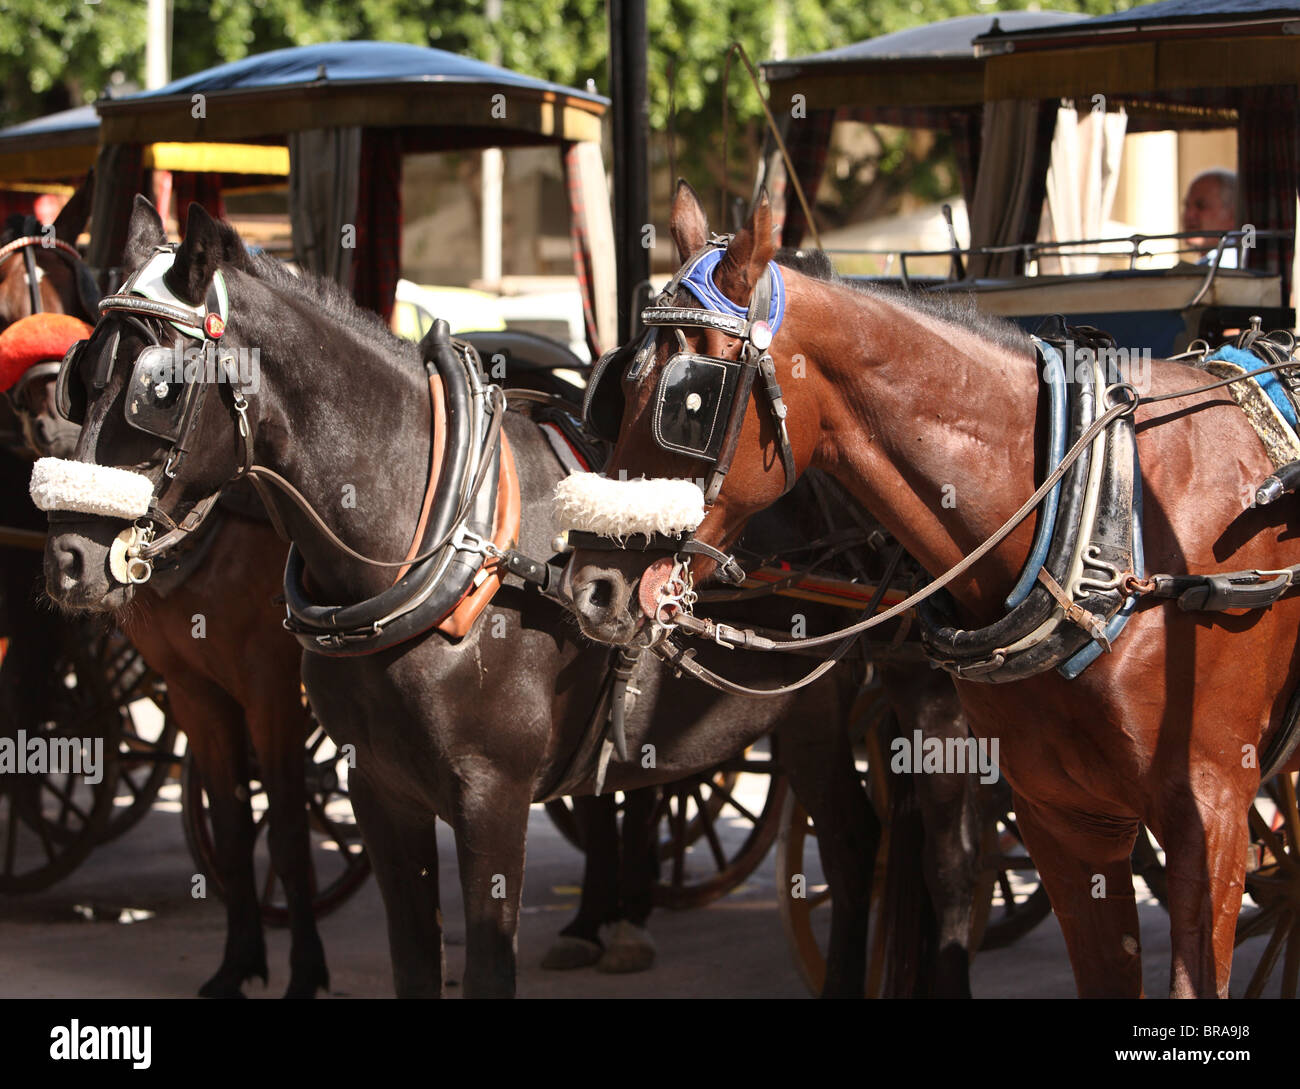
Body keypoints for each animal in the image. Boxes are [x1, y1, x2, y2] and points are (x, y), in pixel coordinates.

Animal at [39, 197, 888, 998]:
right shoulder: (378, 789)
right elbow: (413, 961)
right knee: (852, 847)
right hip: (799, 711)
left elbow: (484, 967)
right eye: (82, 375)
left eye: (156, 388)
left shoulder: (491, 796)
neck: (440, 535)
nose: (70, 559)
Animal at [559, 180, 1300, 999]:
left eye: (688, 401)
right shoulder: (1065, 816)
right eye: (617, 386)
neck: (1101, 511)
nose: (592, 586)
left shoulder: (1210, 811)